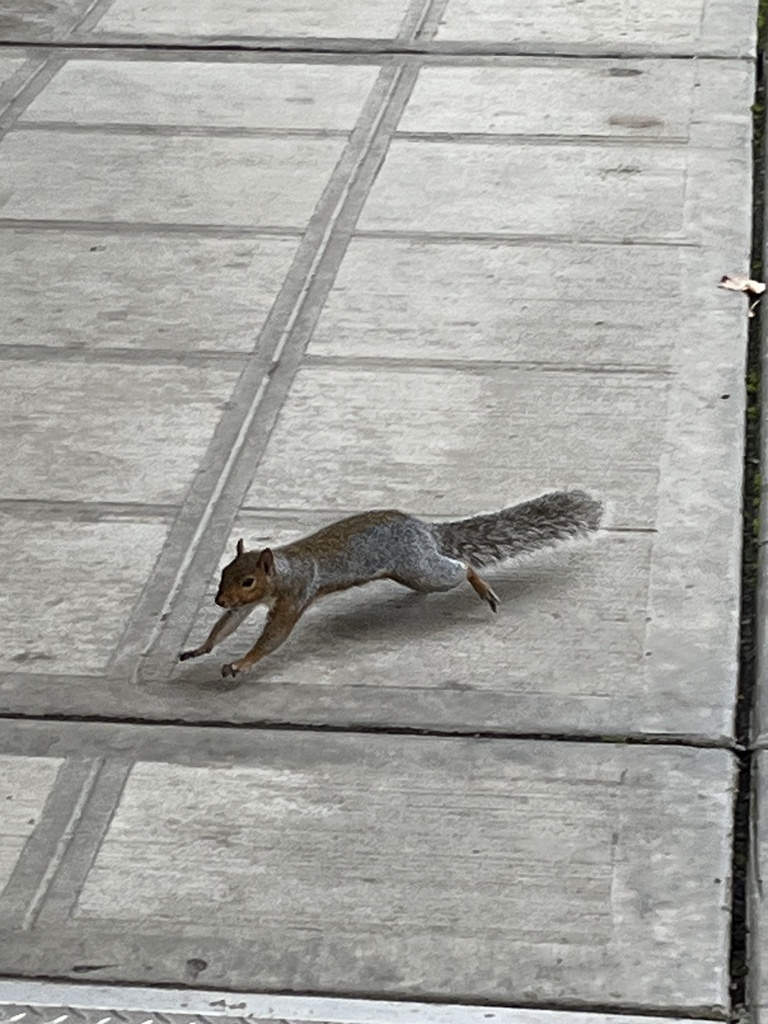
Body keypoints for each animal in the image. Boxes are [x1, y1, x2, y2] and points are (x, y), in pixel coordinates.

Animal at [179, 489, 603, 679]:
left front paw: (241, 663)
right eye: (224, 573)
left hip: (422, 568)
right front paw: (202, 647)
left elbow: (274, 637)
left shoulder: (294, 595)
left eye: (248, 579)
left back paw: (479, 584)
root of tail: (426, 531)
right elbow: (229, 625)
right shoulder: (249, 605)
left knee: (461, 567)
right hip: (412, 572)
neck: (282, 569)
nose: (218, 600)